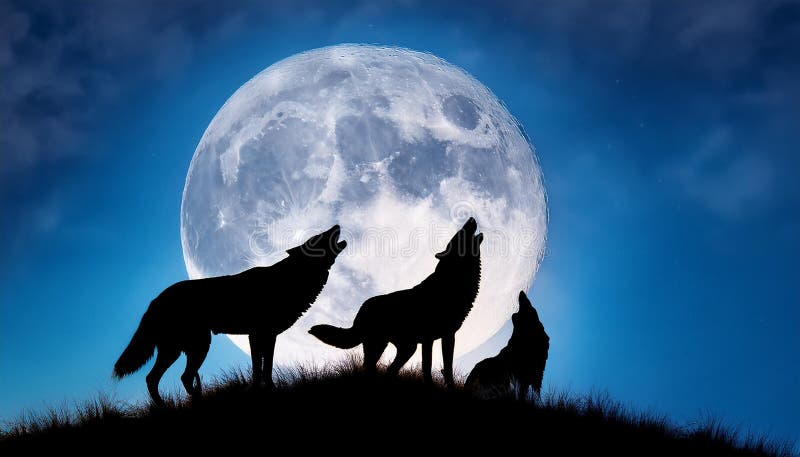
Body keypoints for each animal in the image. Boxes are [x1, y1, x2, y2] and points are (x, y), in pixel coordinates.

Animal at [113, 225, 347, 405]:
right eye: (316, 239)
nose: (336, 225)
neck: (290, 279)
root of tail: (154, 301)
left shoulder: (268, 336)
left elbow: (266, 368)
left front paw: (270, 390)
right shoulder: (257, 334)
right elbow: (258, 369)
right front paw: (258, 392)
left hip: (182, 349)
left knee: (163, 378)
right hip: (195, 347)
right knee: (172, 378)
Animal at [310, 217, 482, 387]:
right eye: (459, 235)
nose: (471, 218)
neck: (450, 282)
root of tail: (360, 311)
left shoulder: (449, 336)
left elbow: (448, 367)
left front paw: (451, 388)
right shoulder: (428, 339)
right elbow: (427, 366)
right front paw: (429, 386)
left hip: (407, 348)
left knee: (388, 369)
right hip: (381, 345)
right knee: (370, 367)